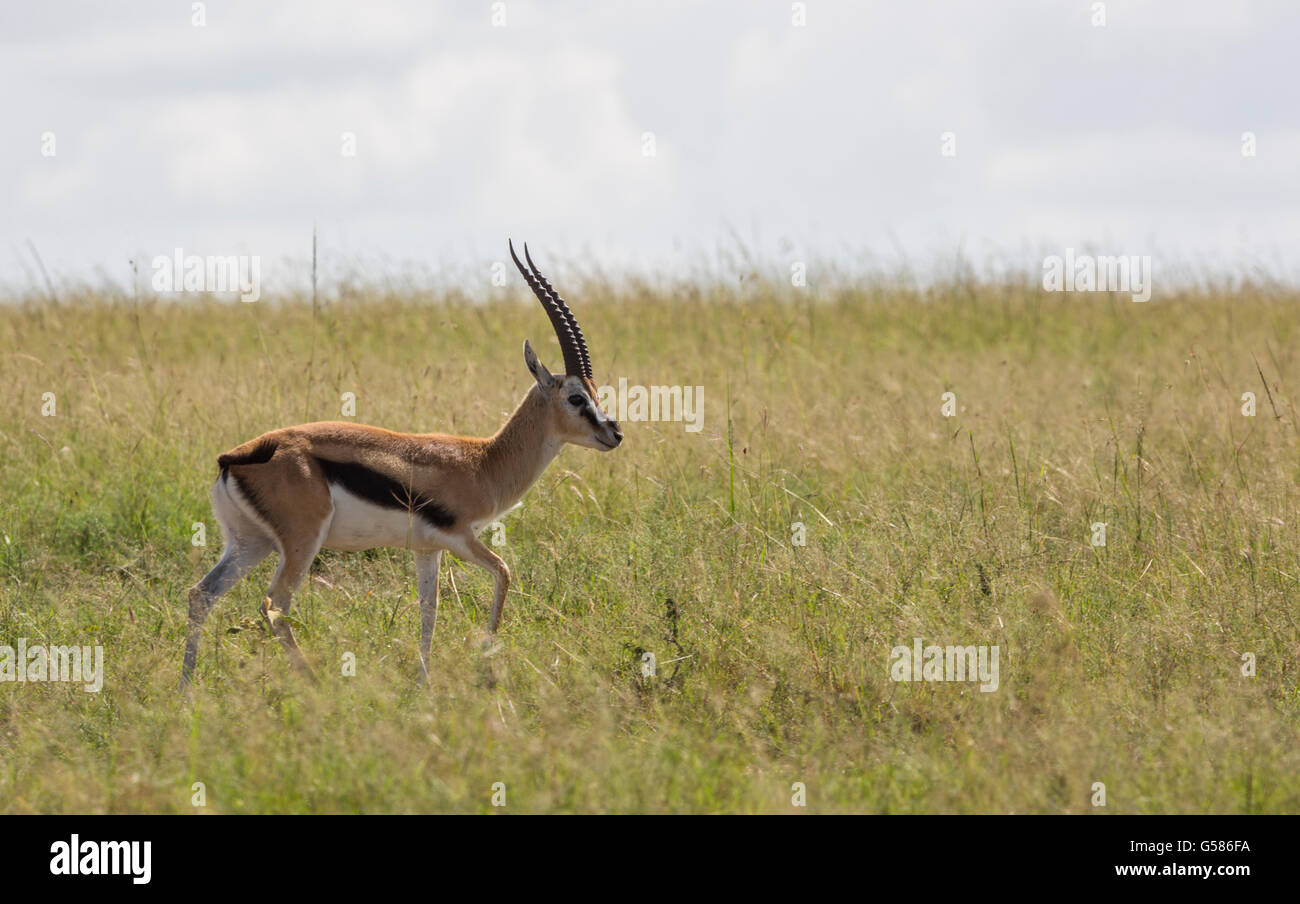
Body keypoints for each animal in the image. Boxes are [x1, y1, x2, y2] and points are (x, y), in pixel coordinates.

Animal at [179, 242, 623, 691]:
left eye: (596, 394)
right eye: (575, 398)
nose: (614, 433)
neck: (483, 462)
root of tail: (241, 455)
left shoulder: (427, 550)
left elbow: (430, 608)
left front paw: (424, 682)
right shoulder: (460, 537)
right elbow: (503, 573)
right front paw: (486, 670)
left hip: (251, 543)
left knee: (202, 594)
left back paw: (186, 691)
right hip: (300, 544)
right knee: (274, 605)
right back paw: (318, 684)